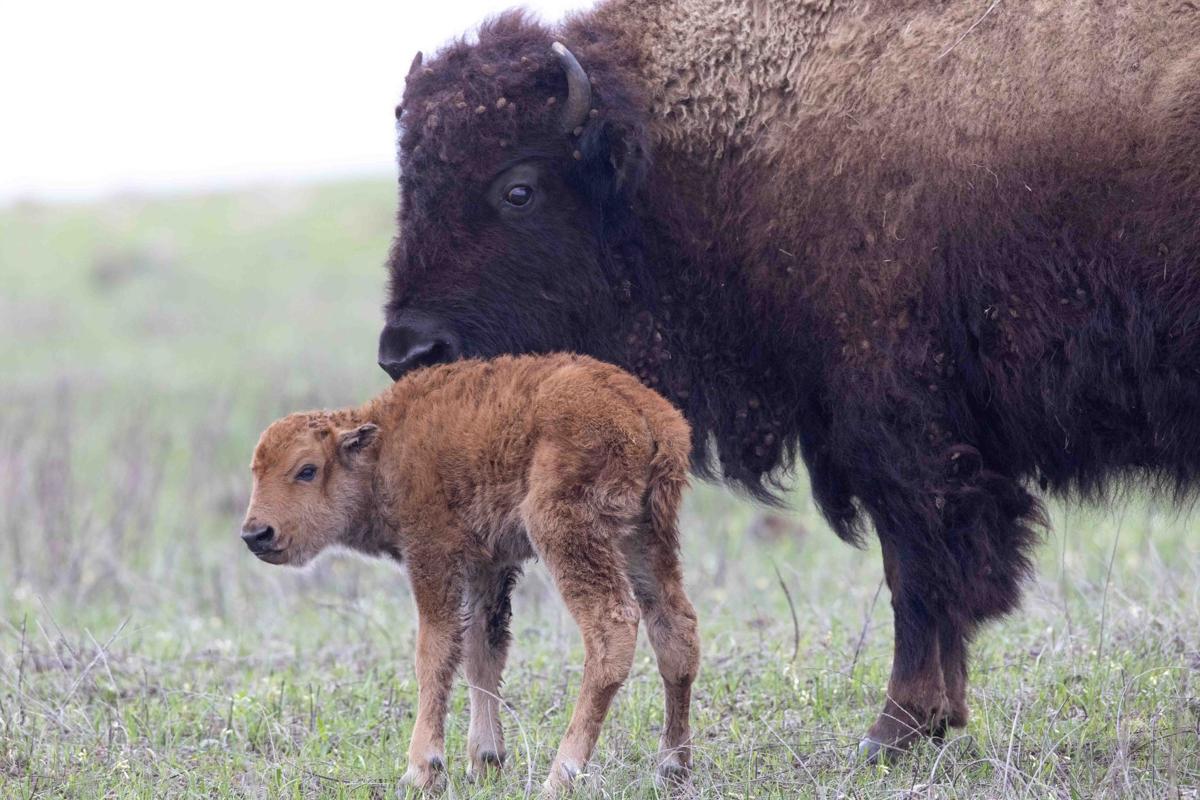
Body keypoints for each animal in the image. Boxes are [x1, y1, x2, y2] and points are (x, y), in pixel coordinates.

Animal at [240, 353, 699, 791]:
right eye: (256, 471)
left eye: (307, 469)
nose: (256, 534)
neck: (385, 446)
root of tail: (647, 414)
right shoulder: (487, 566)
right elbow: (483, 651)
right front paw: (486, 762)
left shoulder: (432, 555)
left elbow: (435, 652)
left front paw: (422, 769)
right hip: (645, 537)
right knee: (676, 630)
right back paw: (671, 767)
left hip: (566, 533)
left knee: (611, 629)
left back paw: (560, 776)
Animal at [376, 0, 1200, 761]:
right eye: (410, 184)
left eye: (518, 189)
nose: (408, 350)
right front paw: (933, 719)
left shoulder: (899, 430)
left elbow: (919, 573)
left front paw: (894, 729)